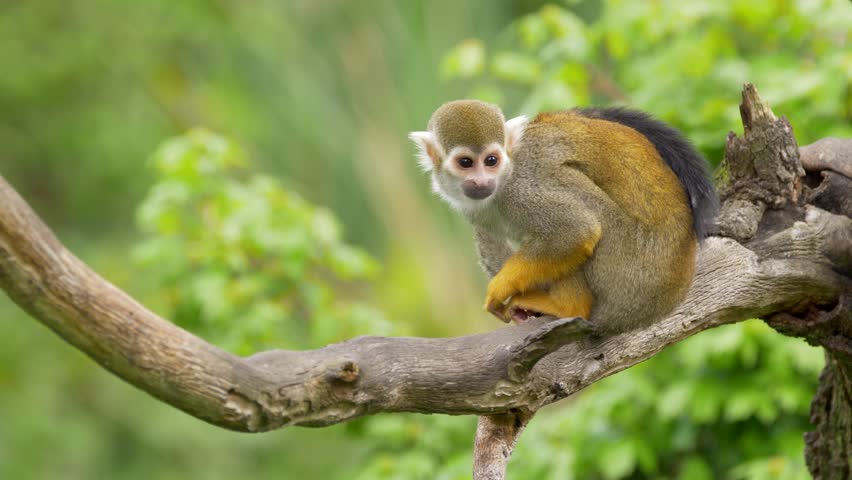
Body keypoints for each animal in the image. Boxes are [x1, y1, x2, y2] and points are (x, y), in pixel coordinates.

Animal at [409, 100, 718, 333]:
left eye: (491, 161)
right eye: (465, 163)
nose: (482, 182)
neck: (505, 179)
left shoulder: (523, 189)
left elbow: (575, 231)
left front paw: (499, 288)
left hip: (630, 271)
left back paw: (569, 307)